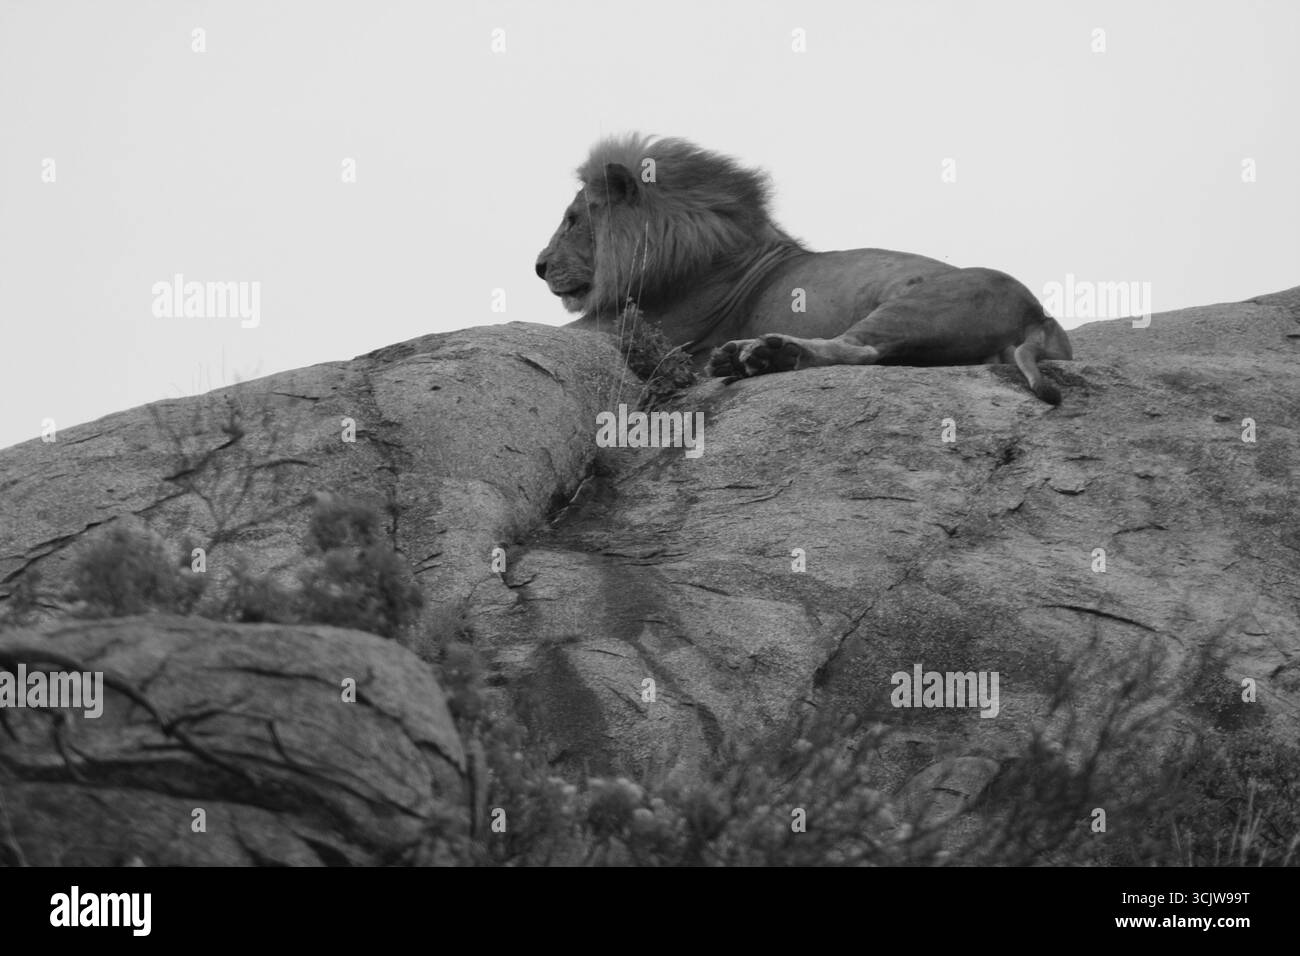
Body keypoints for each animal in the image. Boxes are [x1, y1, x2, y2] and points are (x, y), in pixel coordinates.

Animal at [536, 134, 1073, 404]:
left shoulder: (635, 326)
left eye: (573, 219)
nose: (538, 267)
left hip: (913, 304)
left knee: (858, 351)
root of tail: (1037, 314)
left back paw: (766, 355)